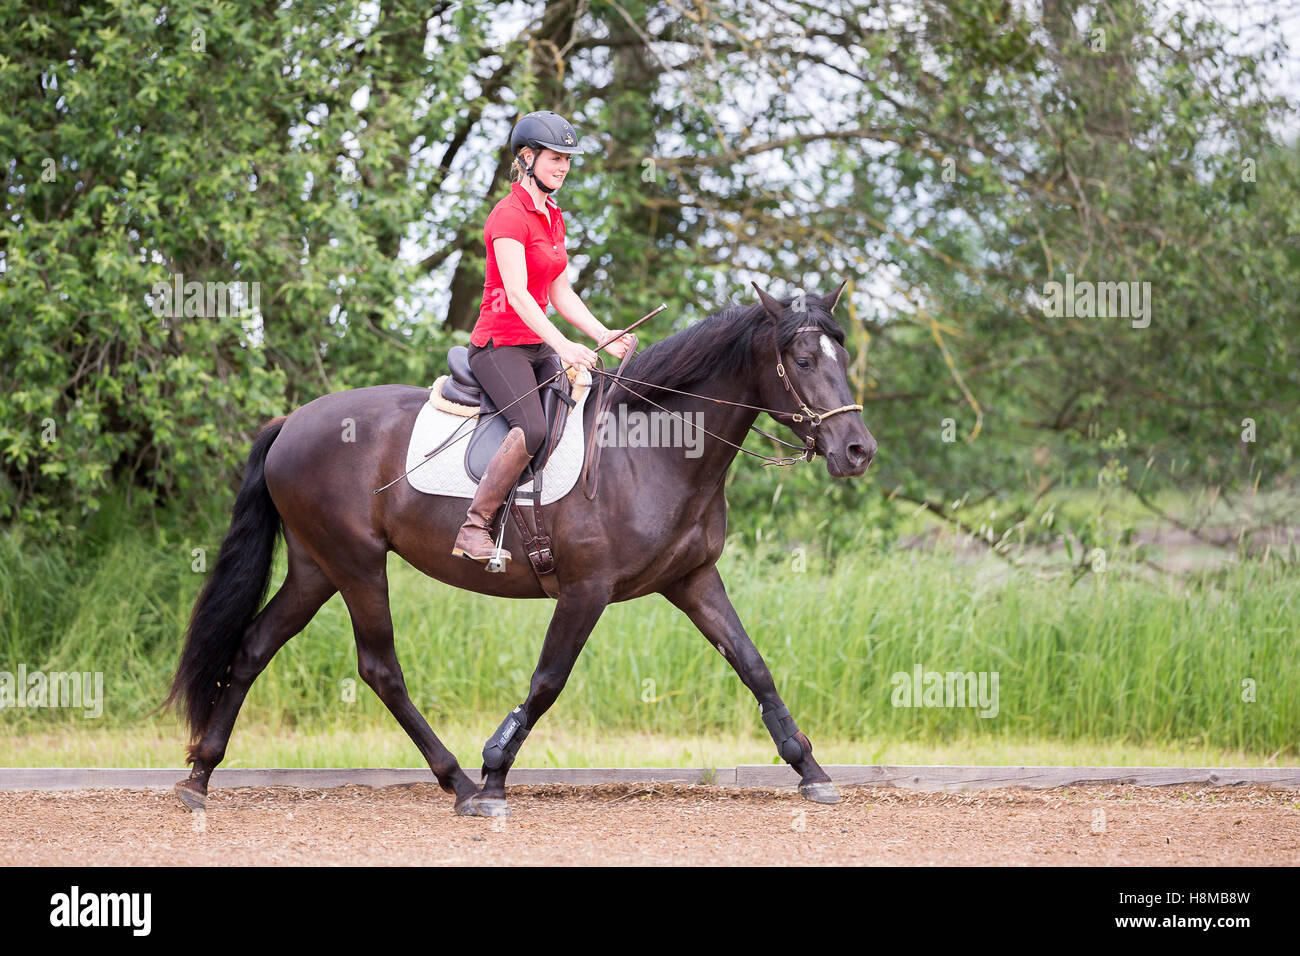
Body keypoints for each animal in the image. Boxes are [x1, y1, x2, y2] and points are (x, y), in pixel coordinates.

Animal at [164, 281, 877, 816]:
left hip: (316, 567)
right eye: (803, 362)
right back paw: (459, 782)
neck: (652, 448)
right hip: (357, 564)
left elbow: (754, 666)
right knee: (380, 668)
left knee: (255, 646)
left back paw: (201, 776)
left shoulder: (694, 579)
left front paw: (811, 769)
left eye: (842, 359)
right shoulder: (587, 591)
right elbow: (547, 681)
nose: (858, 451)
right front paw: (495, 773)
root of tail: (292, 422)